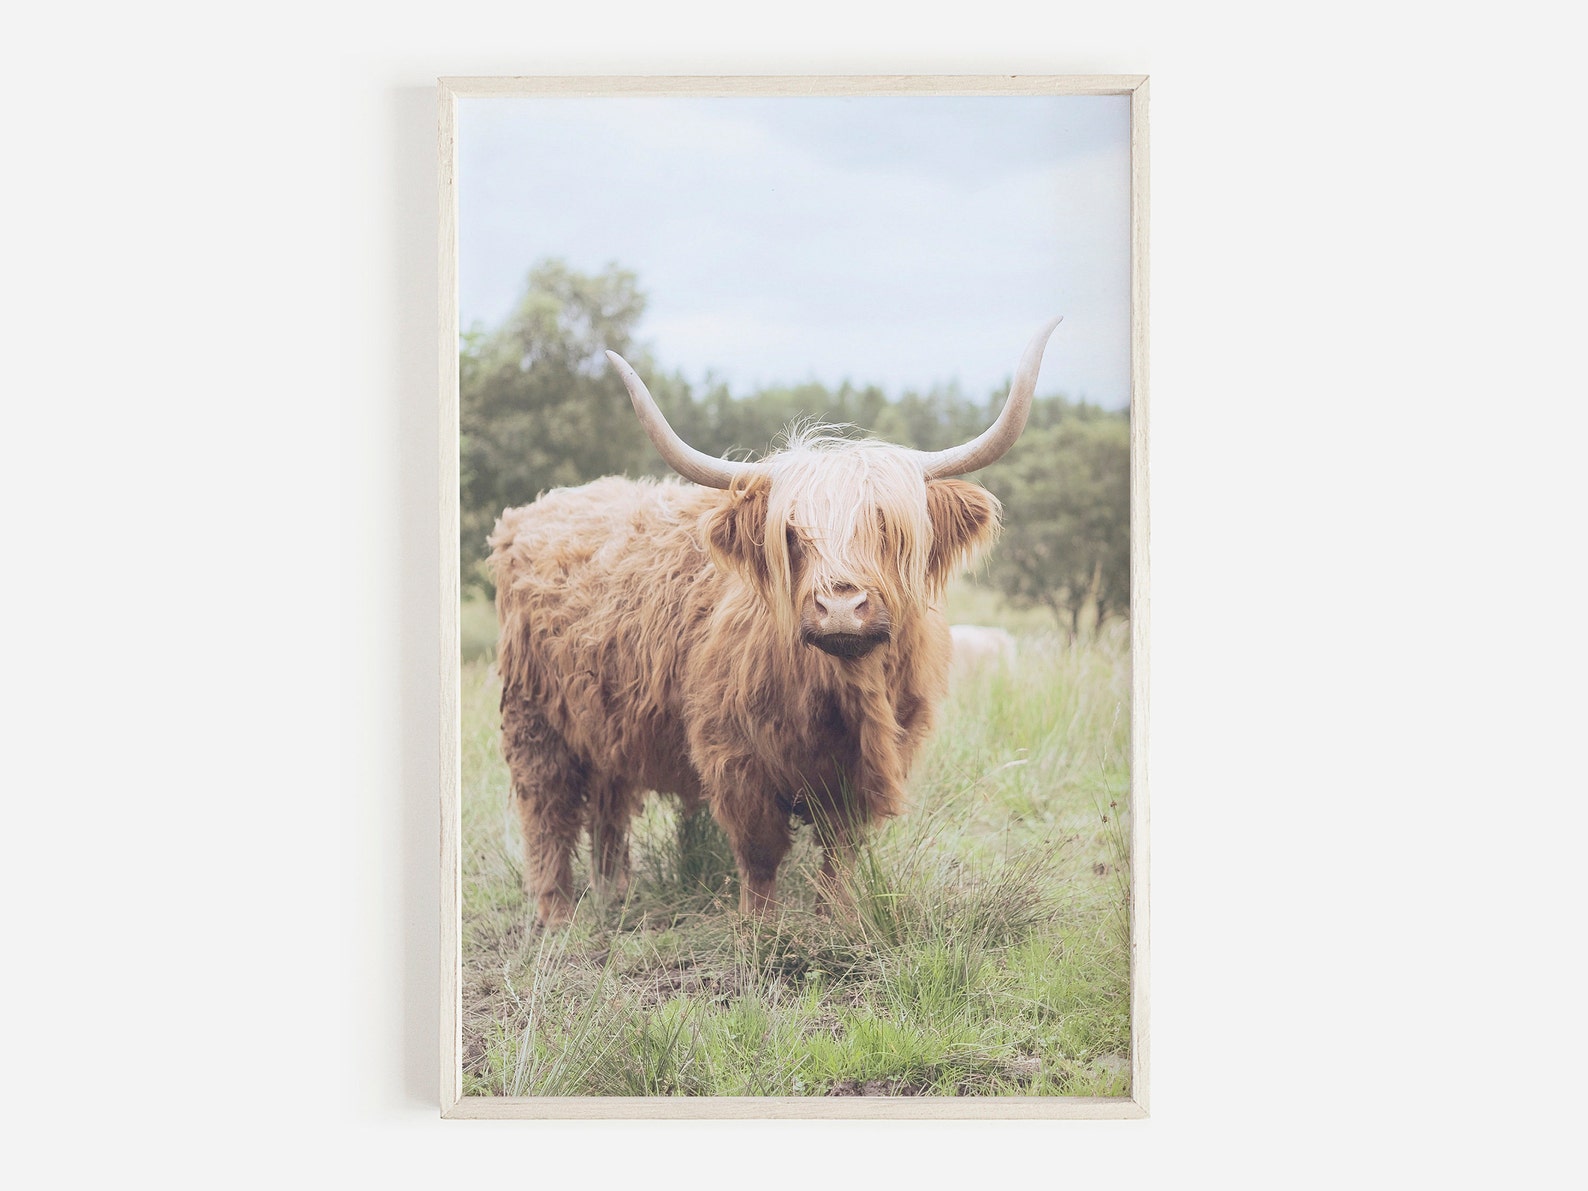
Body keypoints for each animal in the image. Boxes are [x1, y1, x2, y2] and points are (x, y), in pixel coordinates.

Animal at [487, 318, 1062, 926]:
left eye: (886, 526)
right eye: (791, 532)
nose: (841, 607)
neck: (841, 694)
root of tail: (536, 509)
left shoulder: (871, 765)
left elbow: (840, 851)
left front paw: (838, 920)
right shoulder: (735, 757)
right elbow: (760, 852)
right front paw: (760, 931)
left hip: (605, 721)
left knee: (609, 805)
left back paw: (614, 895)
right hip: (533, 718)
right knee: (547, 812)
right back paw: (557, 916)